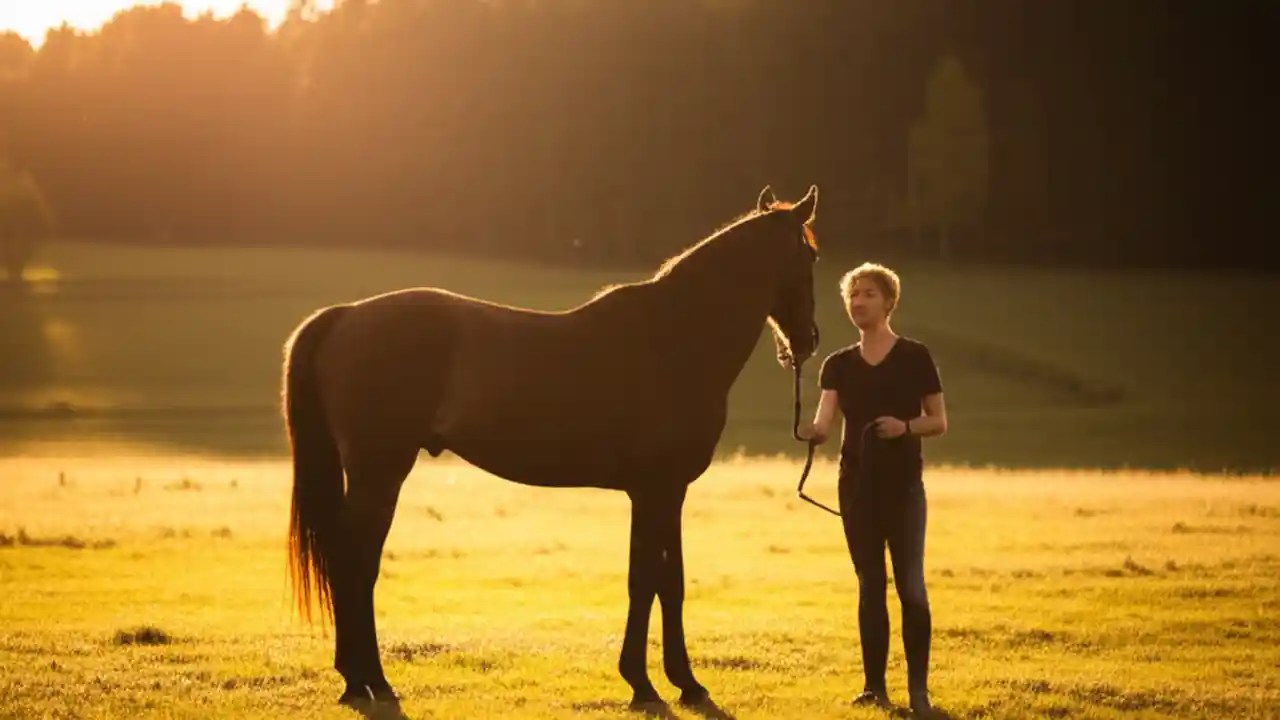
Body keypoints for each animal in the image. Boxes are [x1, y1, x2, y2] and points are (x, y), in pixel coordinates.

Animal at [282, 184, 821, 709]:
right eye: (810, 255)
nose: (809, 340)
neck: (673, 340)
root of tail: (345, 317)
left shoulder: (662, 493)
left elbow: (666, 582)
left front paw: (678, 682)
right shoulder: (657, 490)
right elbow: (649, 579)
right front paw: (648, 684)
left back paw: (357, 680)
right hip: (380, 474)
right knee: (355, 563)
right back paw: (369, 679)